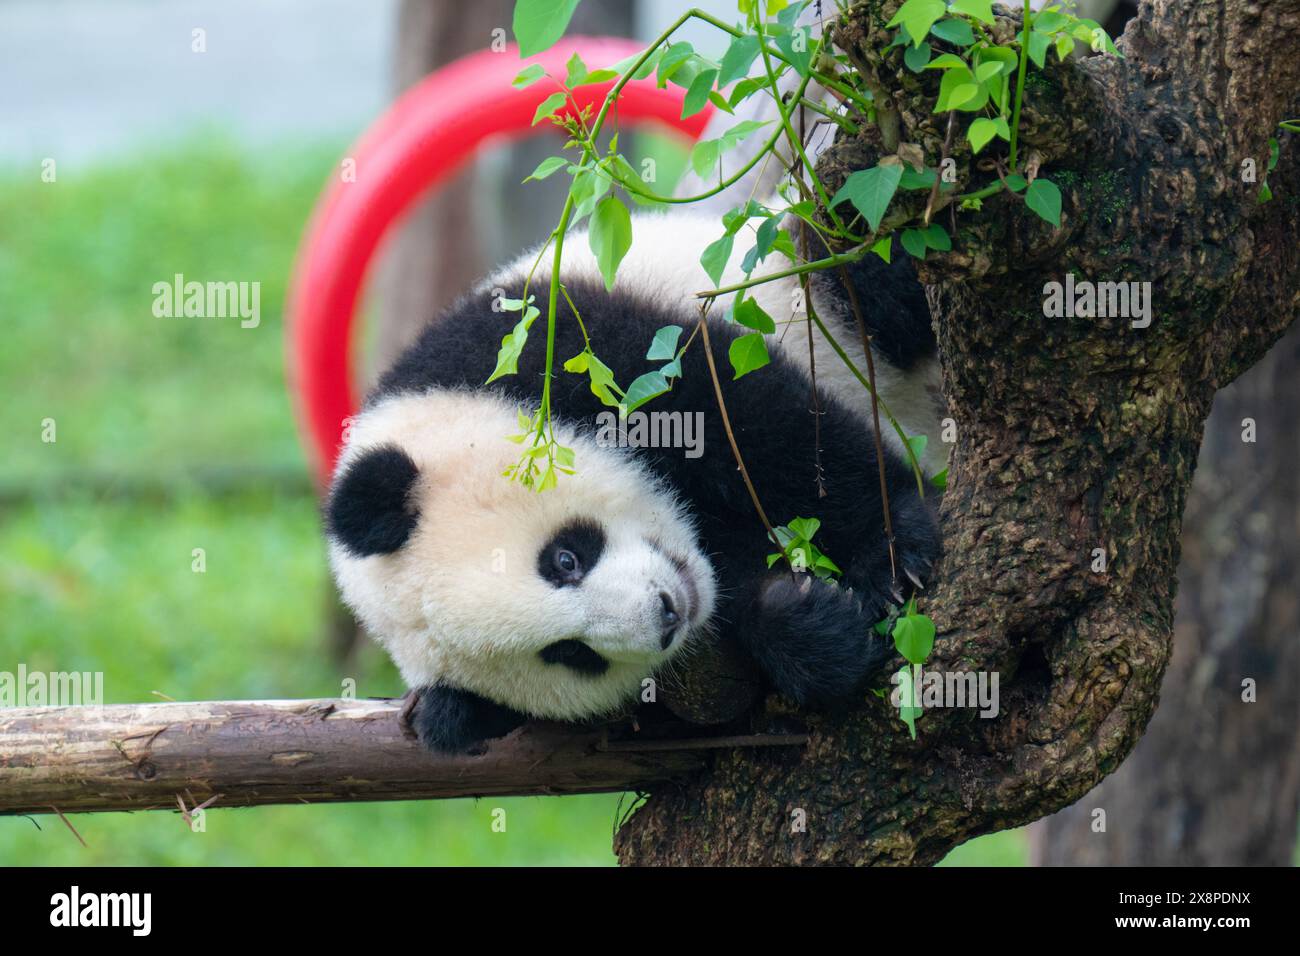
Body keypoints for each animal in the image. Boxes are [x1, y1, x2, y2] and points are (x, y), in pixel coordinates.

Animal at [325, 210, 944, 755]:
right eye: (571, 654)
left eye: (564, 559)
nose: (666, 613)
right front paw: (813, 631)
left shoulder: (551, 343)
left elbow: (757, 427)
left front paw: (893, 557)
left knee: (872, 282)